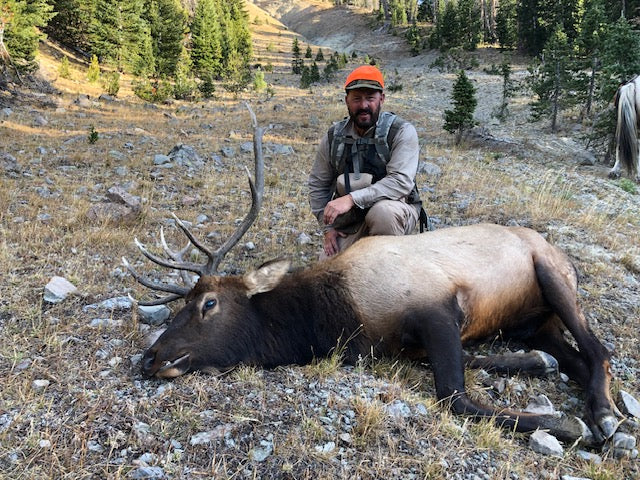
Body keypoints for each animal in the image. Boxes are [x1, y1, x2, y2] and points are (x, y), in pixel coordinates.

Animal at [123, 104, 624, 447]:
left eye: (208, 303)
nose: (150, 358)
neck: (338, 316)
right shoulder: (397, 345)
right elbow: (468, 364)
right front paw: (536, 367)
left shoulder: (436, 306)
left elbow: (454, 395)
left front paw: (562, 423)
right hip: (533, 323)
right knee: (571, 355)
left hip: (551, 274)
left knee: (599, 350)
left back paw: (601, 417)